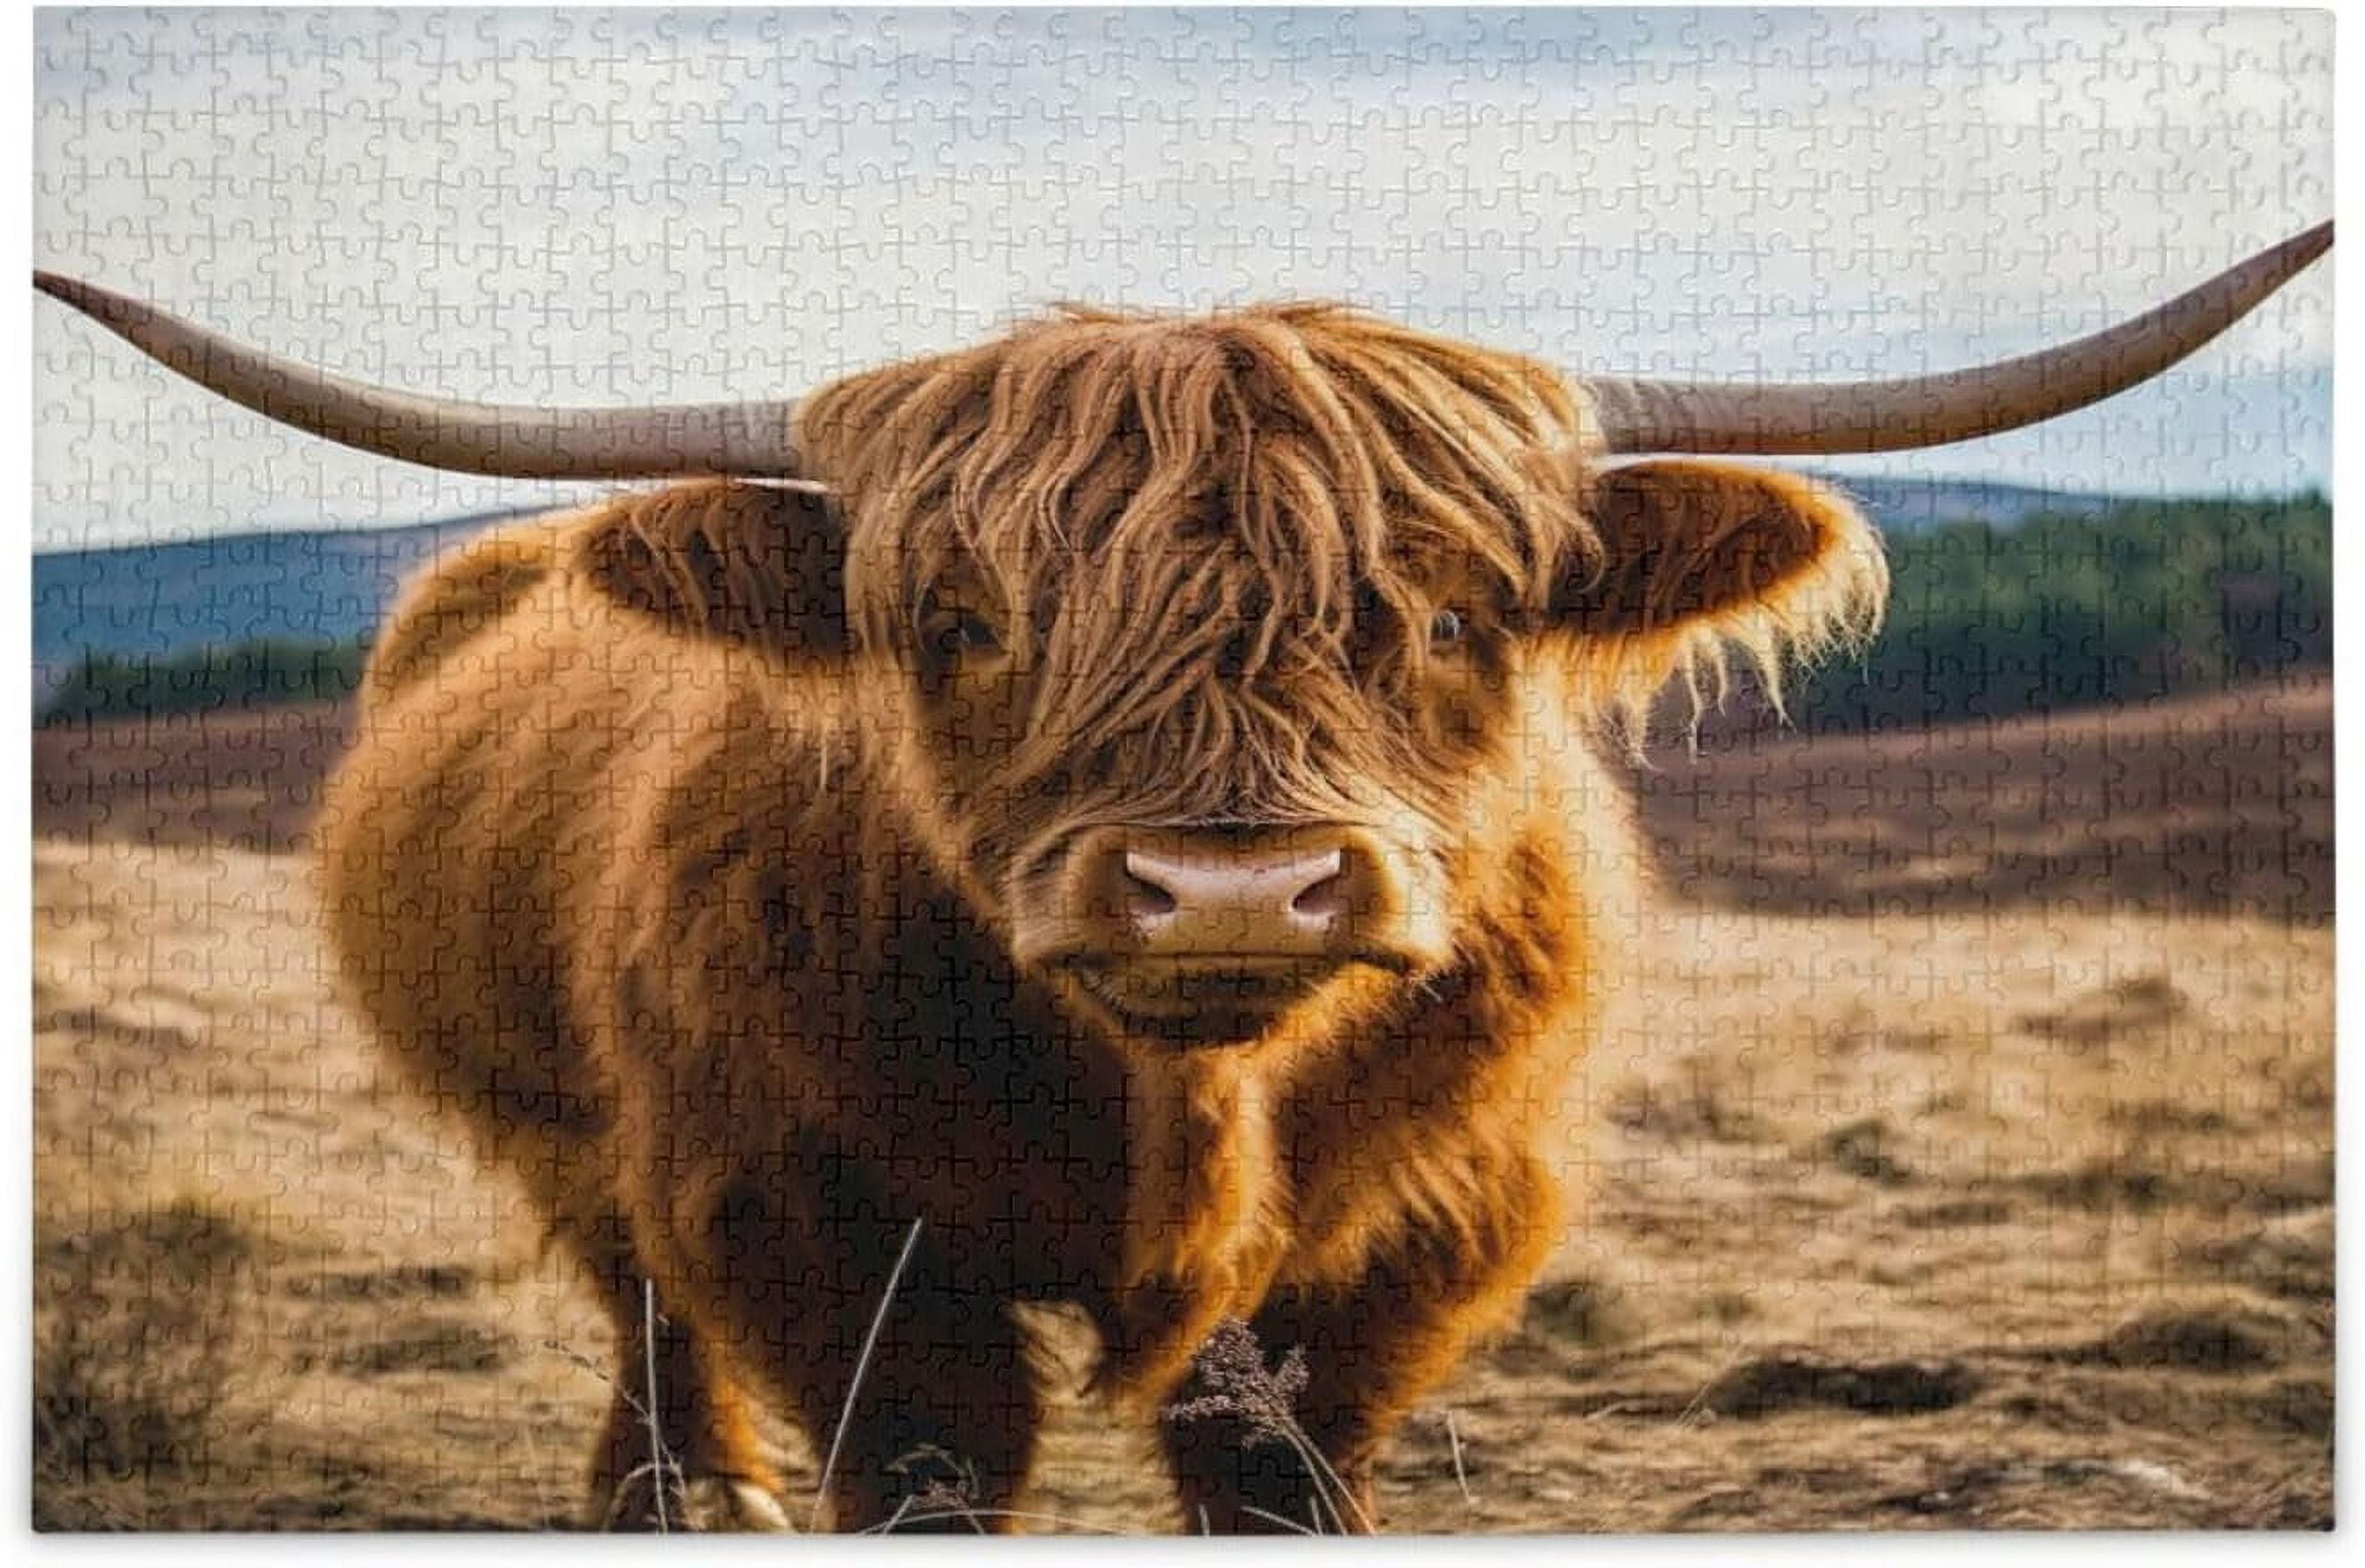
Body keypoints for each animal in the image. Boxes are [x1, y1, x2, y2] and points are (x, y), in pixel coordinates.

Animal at [33, 223, 2329, 1532]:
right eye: (958, 622)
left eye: (1454, 615)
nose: (1232, 896)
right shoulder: (809, 1214)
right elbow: (923, 1457)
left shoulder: (1423, 1225)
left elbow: (1278, 1469)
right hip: (581, 1134)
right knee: (642, 1308)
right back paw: (678, 1495)